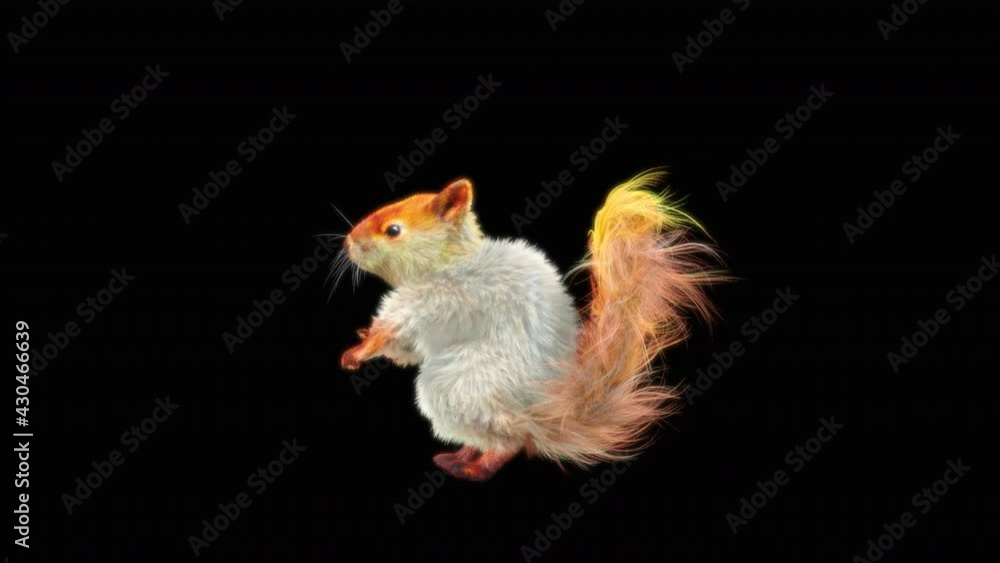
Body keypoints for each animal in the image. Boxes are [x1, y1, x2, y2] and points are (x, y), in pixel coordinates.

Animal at [337, 170, 725, 481]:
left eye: (393, 230)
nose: (348, 242)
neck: (448, 262)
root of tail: (544, 416)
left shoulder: (442, 299)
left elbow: (400, 326)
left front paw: (362, 347)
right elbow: (405, 347)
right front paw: (364, 338)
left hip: (461, 386)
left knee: (511, 441)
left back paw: (477, 466)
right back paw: (461, 456)